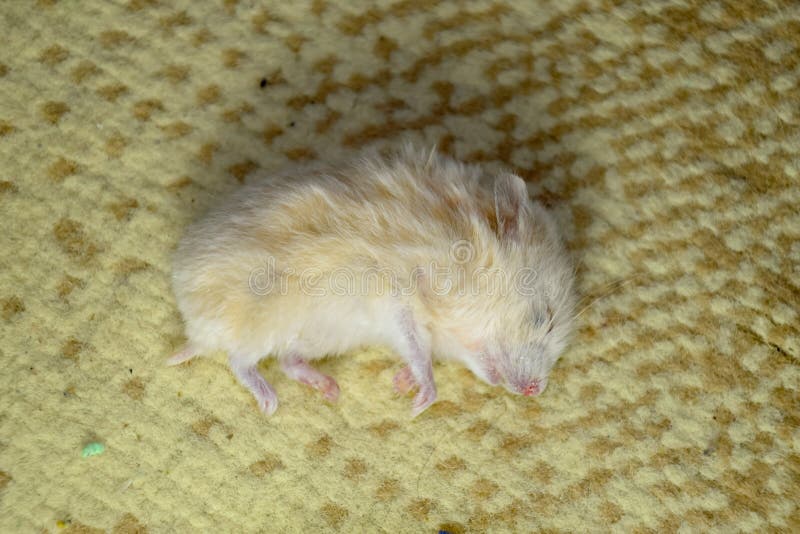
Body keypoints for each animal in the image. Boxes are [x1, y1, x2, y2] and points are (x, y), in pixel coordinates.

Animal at [168, 145, 576, 416]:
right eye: (543, 317)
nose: (534, 391)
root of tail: (195, 328)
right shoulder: (398, 296)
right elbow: (417, 348)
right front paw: (419, 402)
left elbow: (418, 350)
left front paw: (401, 384)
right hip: (263, 319)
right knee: (239, 360)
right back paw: (270, 402)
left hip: (315, 336)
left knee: (286, 361)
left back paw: (329, 389)